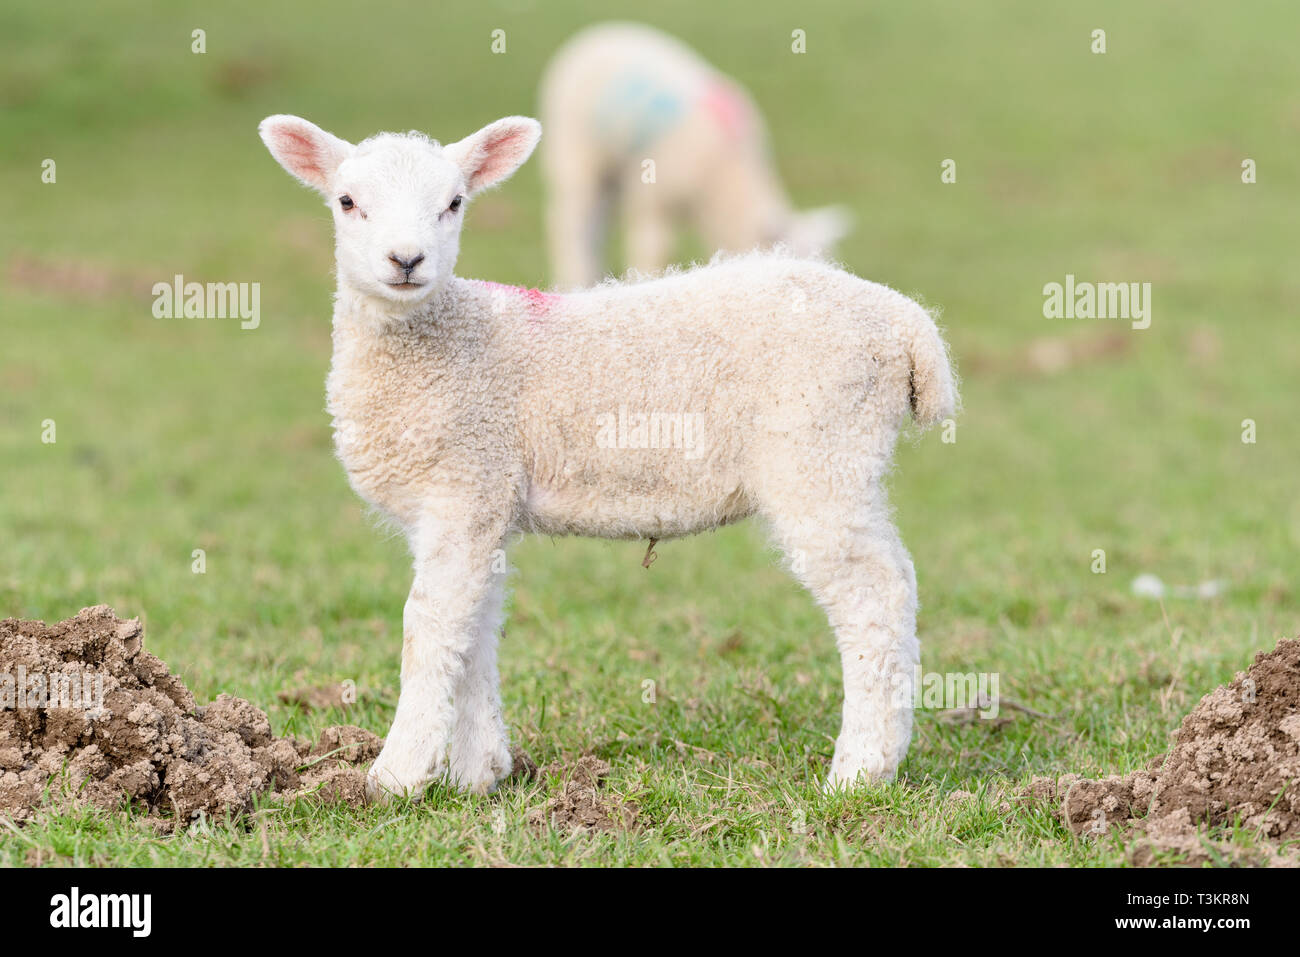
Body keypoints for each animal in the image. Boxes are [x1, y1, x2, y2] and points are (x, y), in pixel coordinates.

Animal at [257, 112, 957, 801]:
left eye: (454, 203)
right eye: (347, 202)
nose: (406, 260)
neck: (449, 339)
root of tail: (907, 323)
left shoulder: (465, 479)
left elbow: (427, 626)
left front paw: (395, 776)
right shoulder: (482, 498)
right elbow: (474, 627)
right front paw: (479, 772)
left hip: (821, 450)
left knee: (875, 593)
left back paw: (860, 772)